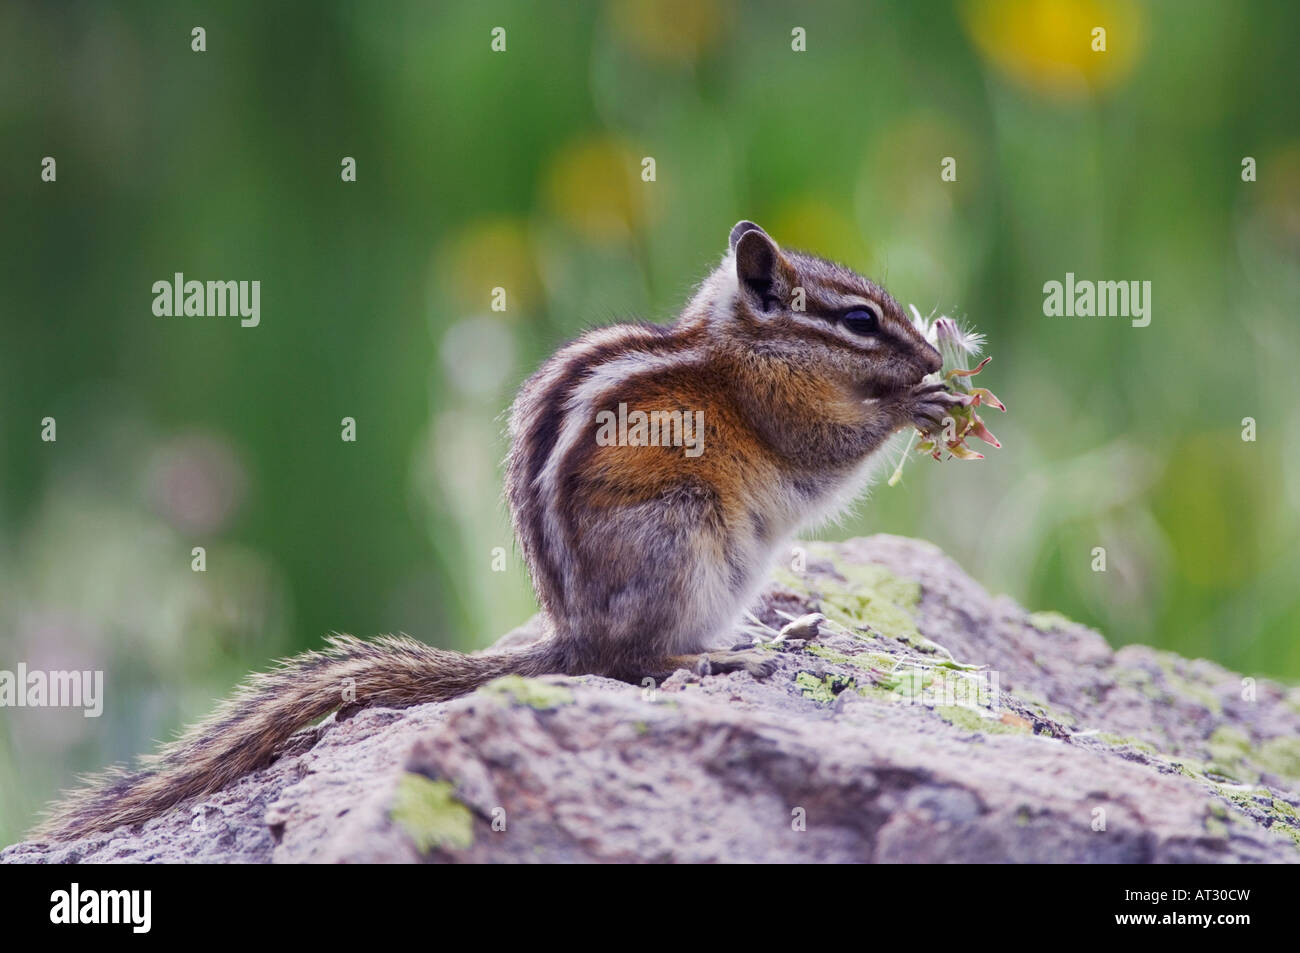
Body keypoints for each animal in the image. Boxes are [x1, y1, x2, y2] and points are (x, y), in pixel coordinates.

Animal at [36, 221, 952, 840]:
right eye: (860, 321)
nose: (936, 360)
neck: (736, 345)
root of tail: (573, 636)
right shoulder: (778, 411)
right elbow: (825, 453)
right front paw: (916, 404)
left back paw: (773, 629)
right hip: (682, 534)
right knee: (635, 661)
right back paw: (712, 657)